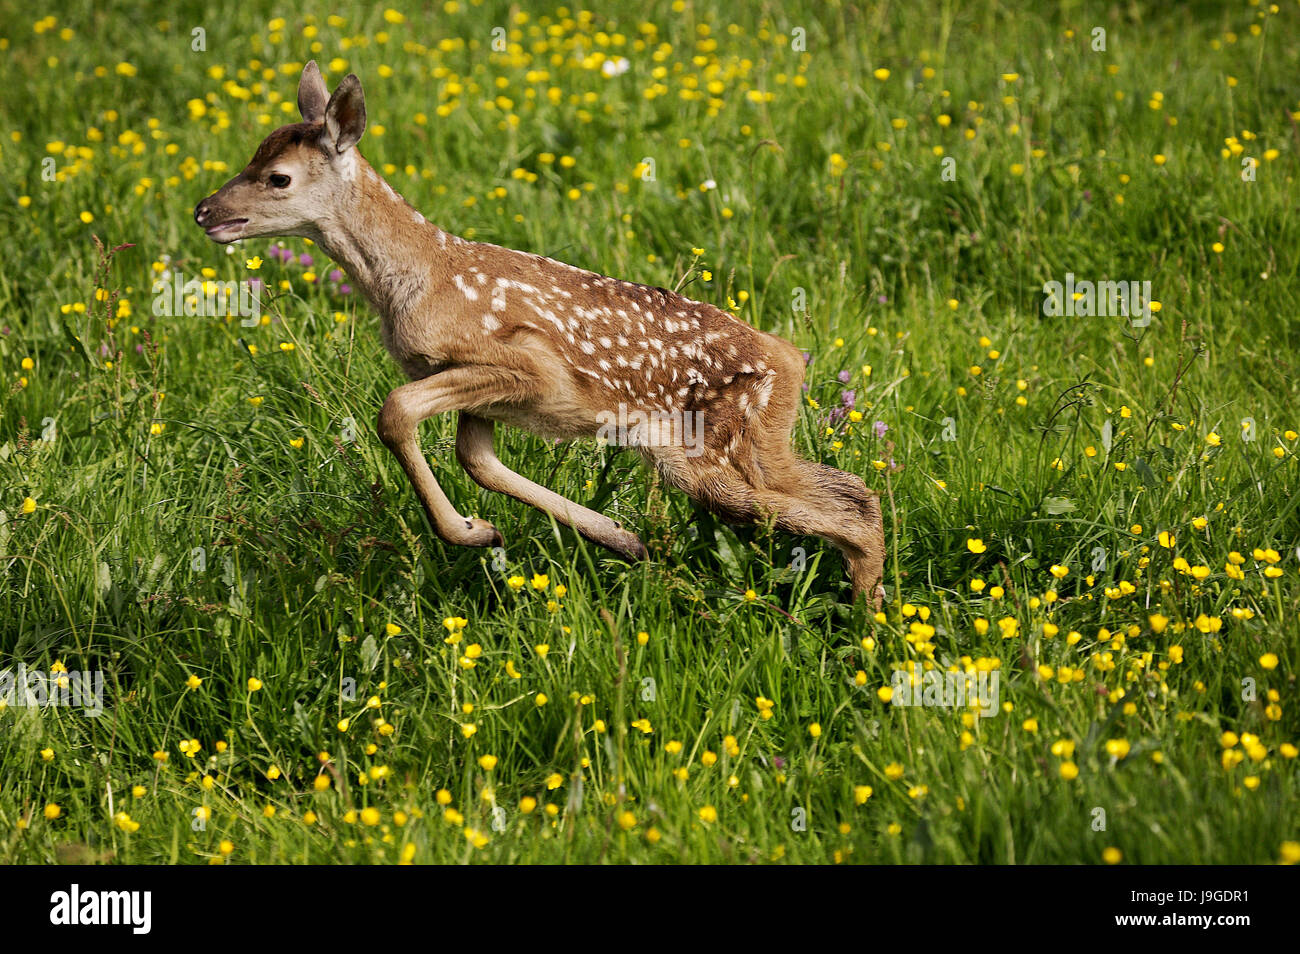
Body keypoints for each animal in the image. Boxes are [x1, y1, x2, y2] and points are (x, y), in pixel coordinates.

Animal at [194, 62, 886, 607]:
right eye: (254, 153)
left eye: (278, 177)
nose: (205, 211)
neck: (418, 277)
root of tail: (791, 358)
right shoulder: (484, 398)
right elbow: (478, 462)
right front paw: (616, 539)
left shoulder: (523, 365)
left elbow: (396, 412)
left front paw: (470, 532)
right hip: (722, 449)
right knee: (853, 490)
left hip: (715, 449)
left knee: (851, 508)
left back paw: (869, 624)